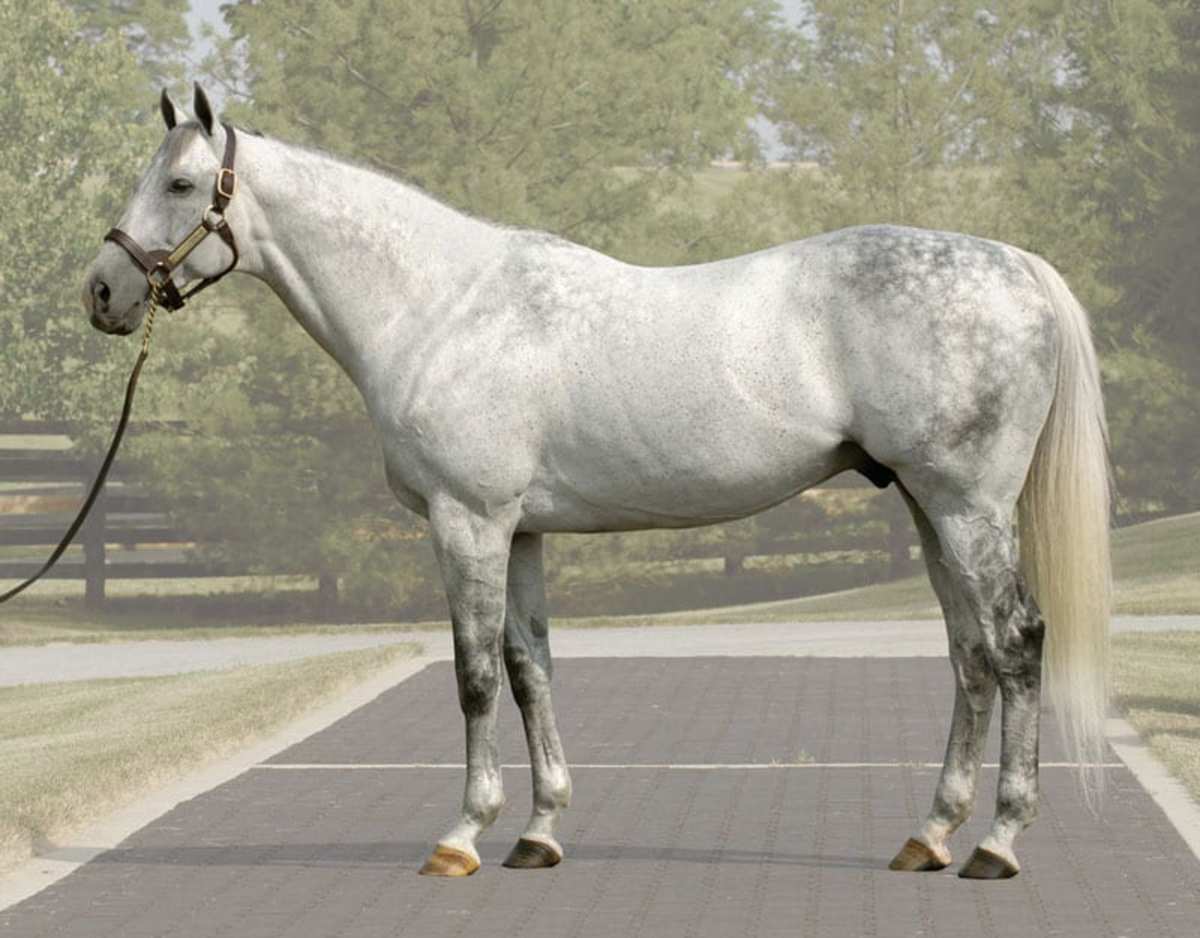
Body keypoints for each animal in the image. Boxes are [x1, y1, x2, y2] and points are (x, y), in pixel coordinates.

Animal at [83, 85, 1111, 881]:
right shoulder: (521, 531)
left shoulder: (467, 523)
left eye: (179, 184)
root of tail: (1015, 266)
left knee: (1016, 643)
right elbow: (530, 668)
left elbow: (472, 677)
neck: (441, 308)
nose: (101, 292)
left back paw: (998, 844)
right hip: (930, 508)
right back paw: (930, 836)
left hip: (968, 508)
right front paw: (539, 833)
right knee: (969, 656)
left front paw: (463, 836)